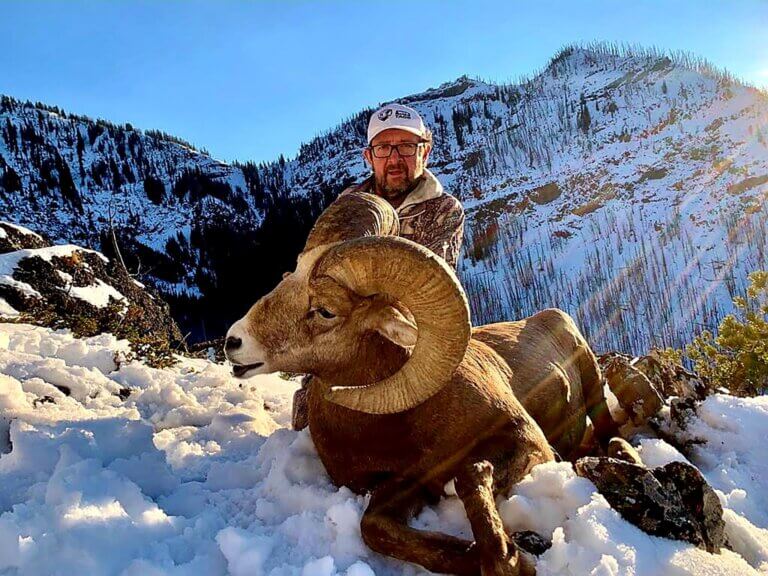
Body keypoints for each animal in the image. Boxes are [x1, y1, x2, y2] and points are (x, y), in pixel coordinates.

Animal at [224, 192, 618, 575]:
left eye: (325, 310)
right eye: (287, 274)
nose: (233, 342)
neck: (399, 425)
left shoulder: (530, 444)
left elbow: (469, 477)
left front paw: (508, 556)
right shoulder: (401, 485)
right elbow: (373, 528)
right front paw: (485, 558)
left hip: (591, 379)